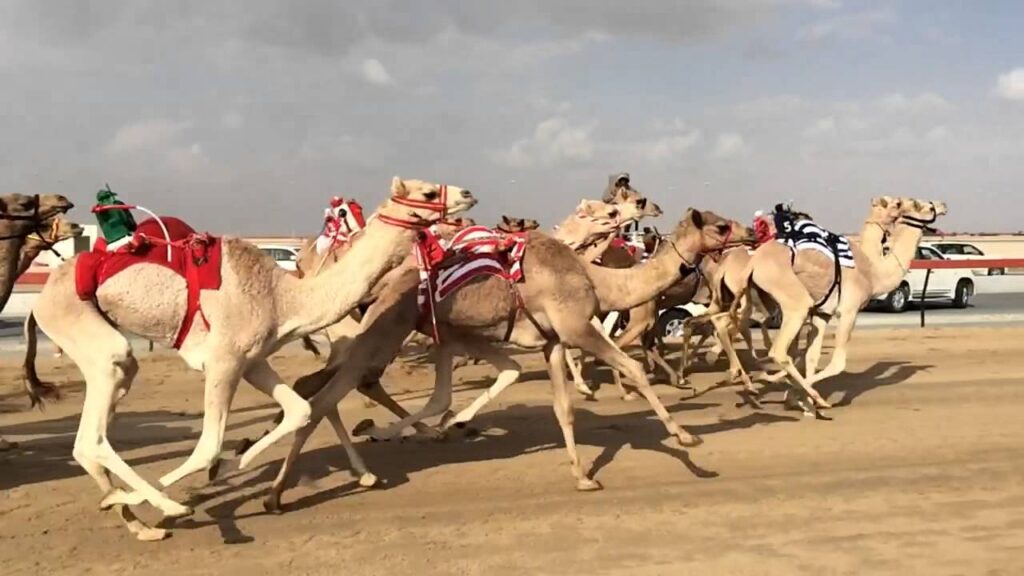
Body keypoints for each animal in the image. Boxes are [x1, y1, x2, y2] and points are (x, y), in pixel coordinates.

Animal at [22, 178, 476, 540]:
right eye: (427, 192)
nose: (468, 194)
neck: (284, 296)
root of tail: (38, 299)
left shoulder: (253, 360)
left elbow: (299, 409)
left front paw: (239, 465)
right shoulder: (223, 361)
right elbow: (209, 445)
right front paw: (210, 479)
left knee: (88, 441)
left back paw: (138, 522)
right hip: (84, 328)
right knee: (95, 433)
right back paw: (160, 508)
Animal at [261, 208, 749, 510]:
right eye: (720, 226)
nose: (750, 232)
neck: (598, 278)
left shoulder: (555, 343)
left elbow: (564, 408)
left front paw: (582, 476)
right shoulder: (576, 327)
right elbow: (629, 366)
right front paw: (688, 440)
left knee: (318, 388)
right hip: (387, 328)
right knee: (330, 394)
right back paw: (283, 489)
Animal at [745, 197, 943, 412]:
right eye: (917, 205)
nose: (942, 205)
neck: (872, 273)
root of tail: (754, 261)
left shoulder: (822, 313)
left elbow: (811, 357)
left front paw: (802, 401)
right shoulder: (849, 311)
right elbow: (837, 363)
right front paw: (798, 396)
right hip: (792, 298)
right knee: (777, 349)